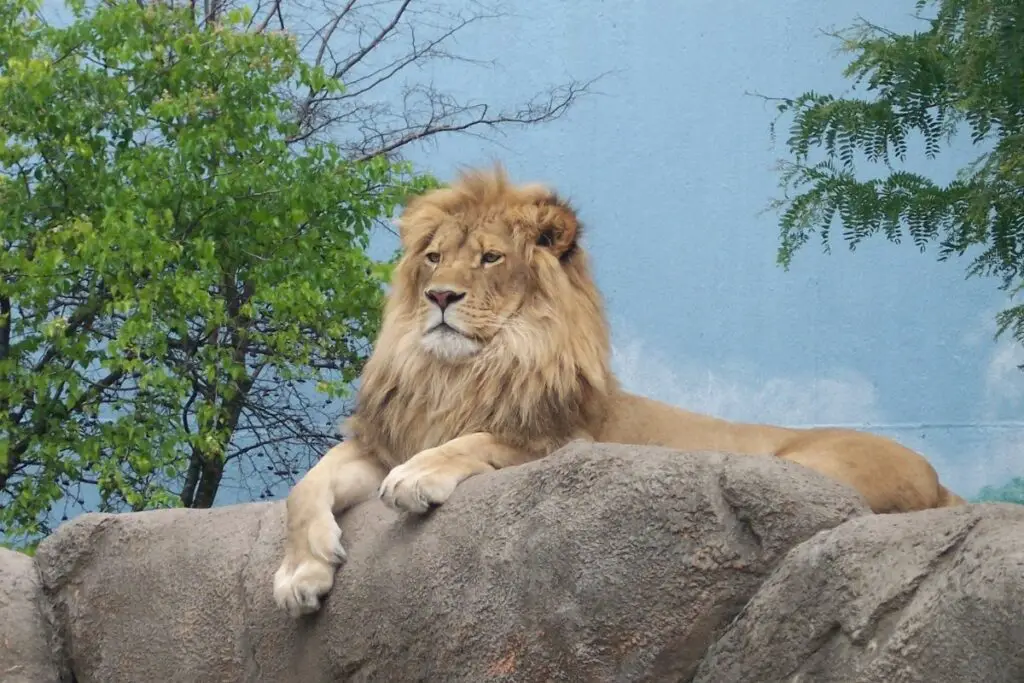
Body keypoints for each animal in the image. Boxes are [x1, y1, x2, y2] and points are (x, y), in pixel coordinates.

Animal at [272, 165, 965, 616]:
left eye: (491, 258)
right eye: (435, 258)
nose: (440, 297)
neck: (462, 371)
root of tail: (941, 480)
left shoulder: (556, 439)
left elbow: (475, 441)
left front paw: (416, 478)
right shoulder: (387, 438)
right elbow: (304, 487)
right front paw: (300, 574)